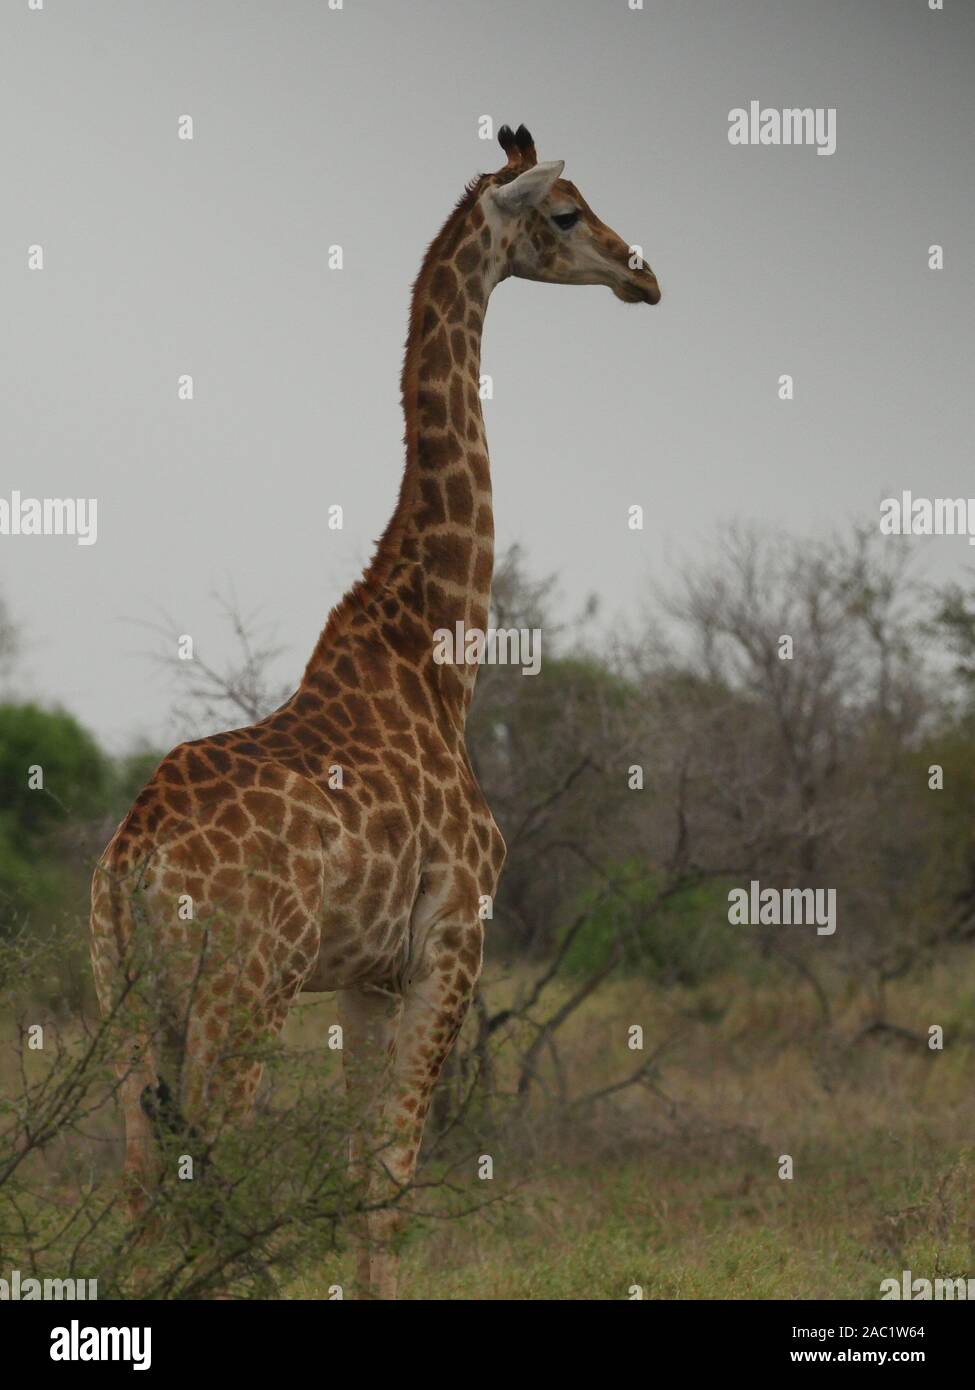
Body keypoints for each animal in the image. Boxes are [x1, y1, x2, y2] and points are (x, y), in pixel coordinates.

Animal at [89, 123, 660, 1300]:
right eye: (567, 211)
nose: (645, 274)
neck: (438, 660)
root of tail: (131, 859)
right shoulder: (450, 944)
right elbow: (391, 1187)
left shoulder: (366, 980)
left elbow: (360, 1183)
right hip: (240, 997)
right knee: (197, 1182)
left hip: (126, 1001)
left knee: (136, 1182)